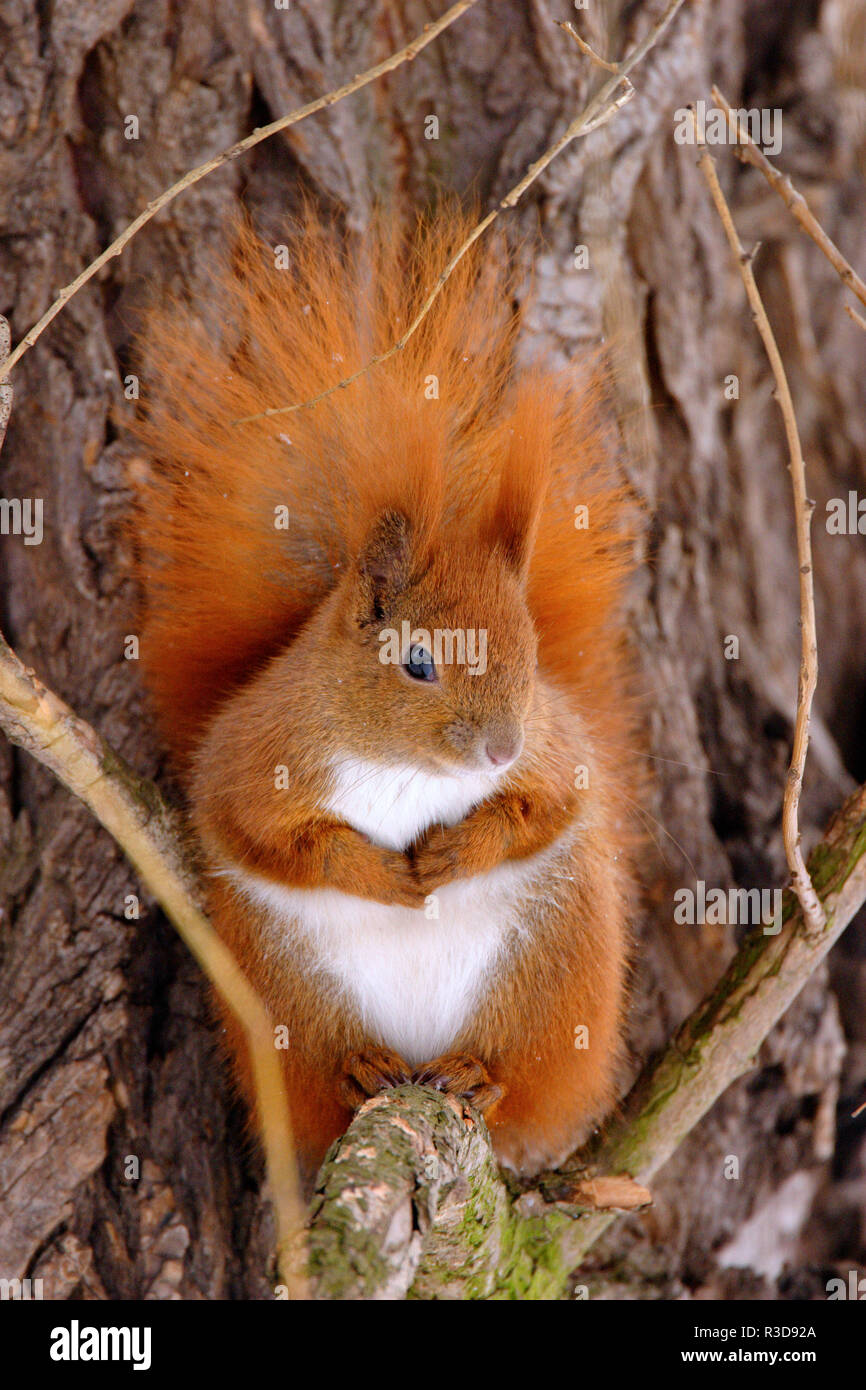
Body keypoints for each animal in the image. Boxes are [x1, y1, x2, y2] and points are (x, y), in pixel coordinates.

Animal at [129, 204, 638, 1182]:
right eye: (417, 664)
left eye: (532, 653)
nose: (500, 749)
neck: (404, 766)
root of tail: (419, 1055)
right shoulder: (255, 762)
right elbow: (267, 839)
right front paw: (376, 872)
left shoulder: (560, 754)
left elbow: (548, 807)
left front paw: (461, 848)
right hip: (287, 990)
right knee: (323, 1068)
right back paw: (363, 1067)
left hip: (551, 970)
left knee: (523, 1072)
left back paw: (479, 1076)